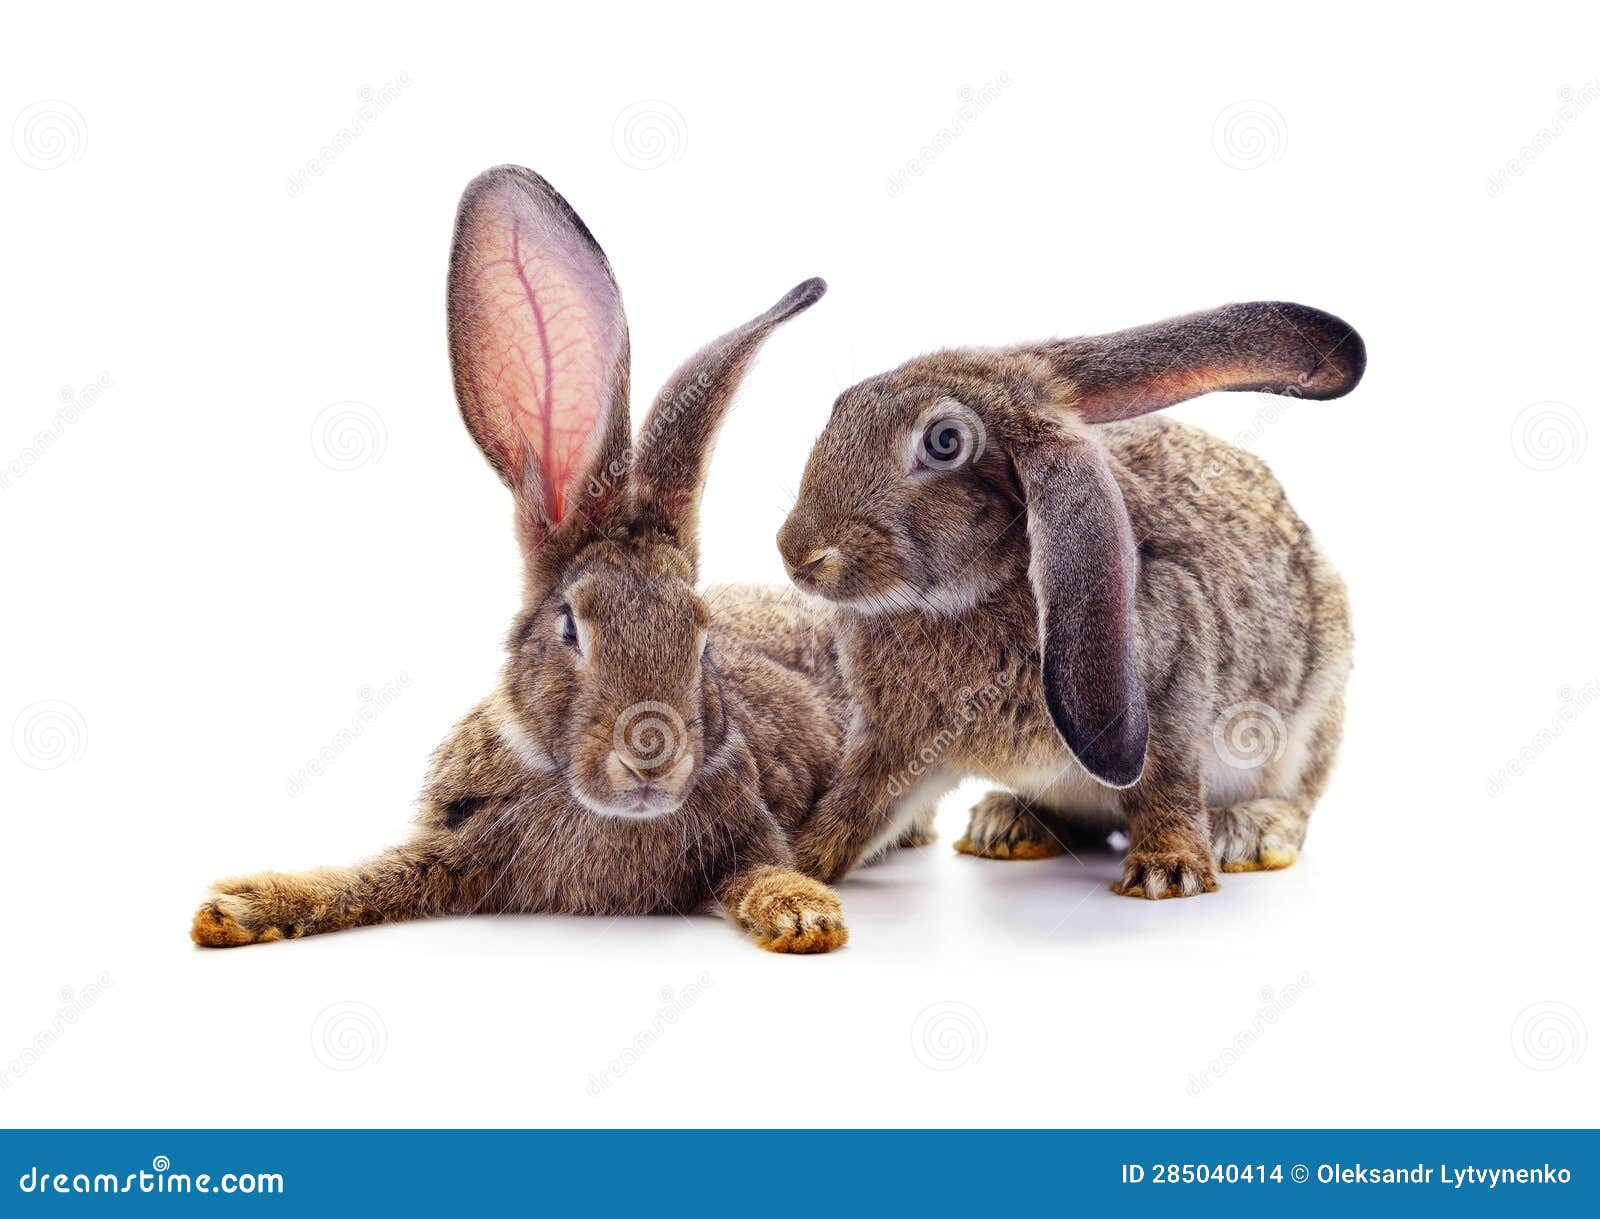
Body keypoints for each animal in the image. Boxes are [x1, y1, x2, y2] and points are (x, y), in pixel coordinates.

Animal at [191, 165, 852, 952]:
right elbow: (372, 878)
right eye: (570, 627)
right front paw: (239, 906)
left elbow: (762, 871)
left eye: (701, 636)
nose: (652, 752)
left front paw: (806, 916)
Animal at [776, 301, 1365, 898]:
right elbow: (860, 806)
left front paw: (1168, 870)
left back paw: (1247, 831)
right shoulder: (897, 743)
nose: (796, 553)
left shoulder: (1173, 702)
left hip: (1310, 717)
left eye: (944, 442)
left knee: (1297, 801)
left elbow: (1168, 785)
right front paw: (801, 861)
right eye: (844, 404)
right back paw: (1007, 826)